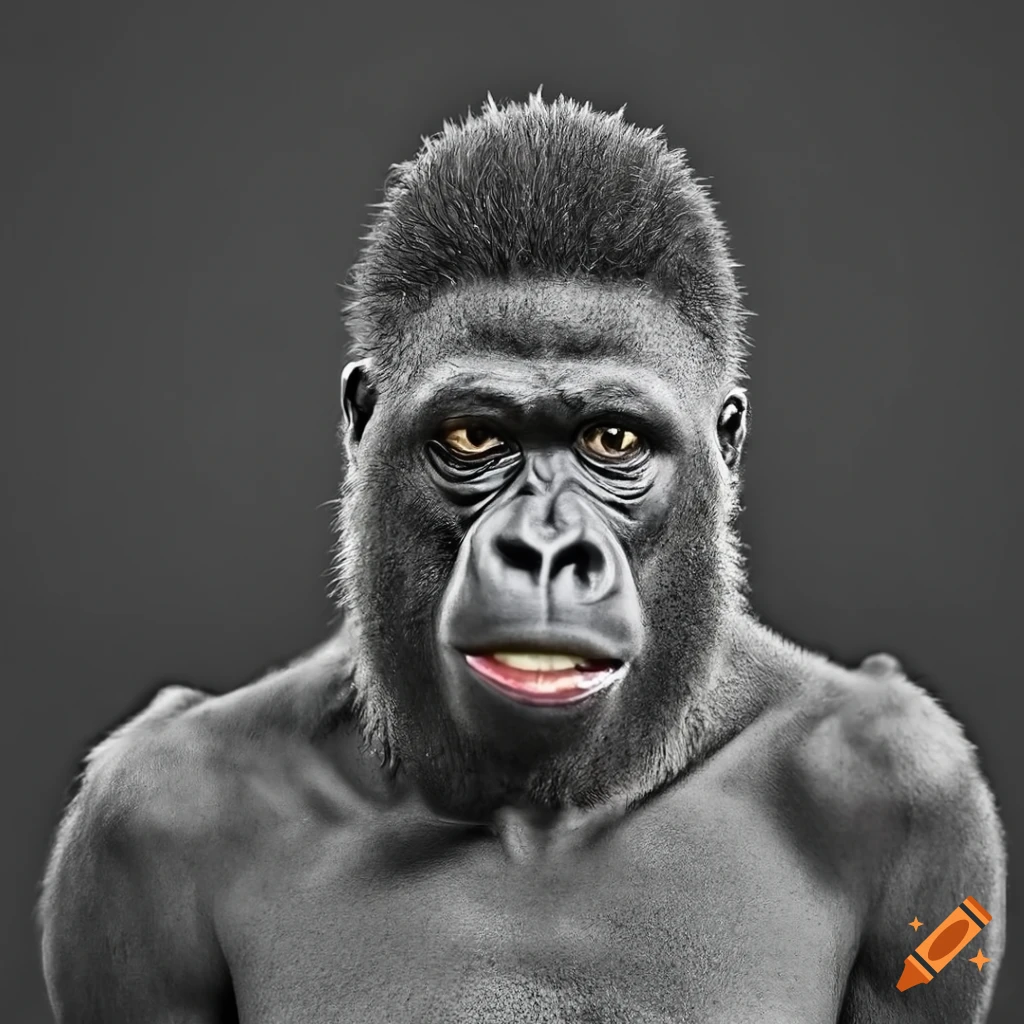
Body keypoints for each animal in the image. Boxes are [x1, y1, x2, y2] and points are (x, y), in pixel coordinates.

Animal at [39, 93, 1005, 1023]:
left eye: (613, 439)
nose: (544, 547)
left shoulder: (903, 774)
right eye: (474, 437)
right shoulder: (145, 812)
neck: (537, 818)